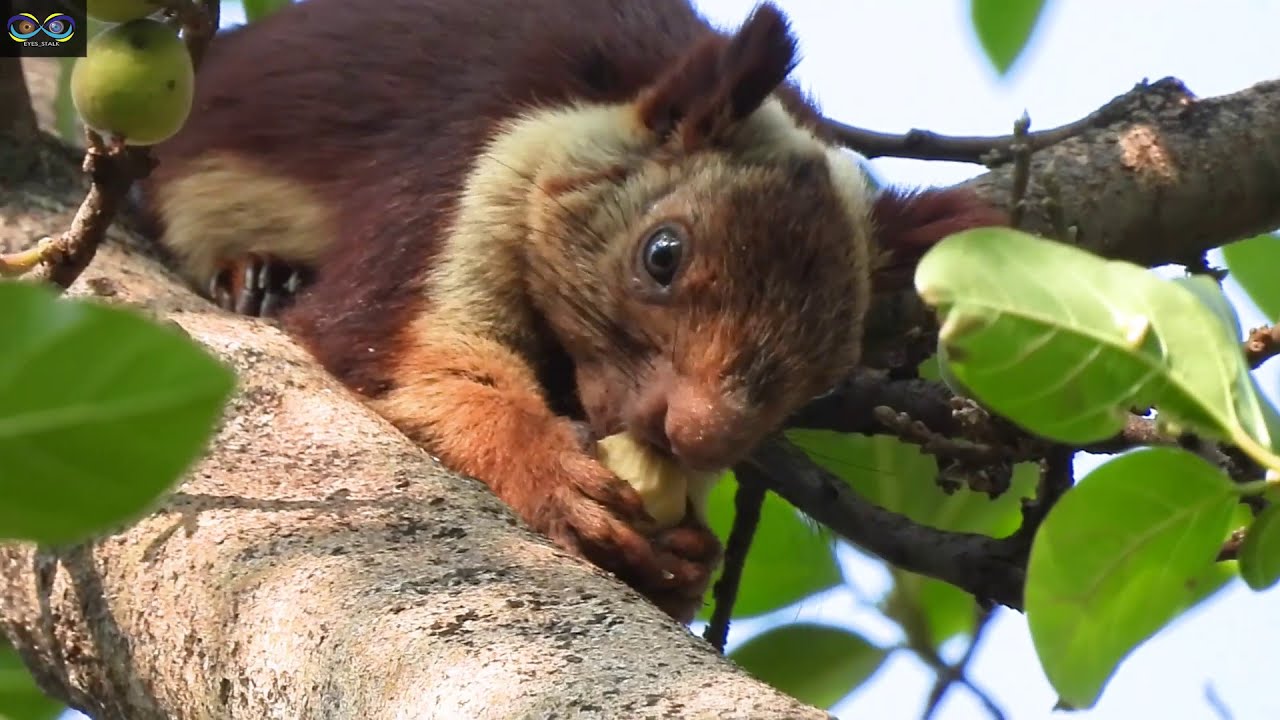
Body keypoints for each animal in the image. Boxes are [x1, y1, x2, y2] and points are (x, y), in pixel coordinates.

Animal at [137, 0, 1008, 623]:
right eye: (663, 254)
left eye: (826, 371)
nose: (698, 437)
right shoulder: (454, 183)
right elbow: (411, 356)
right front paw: (550, 472)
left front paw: (688, 561)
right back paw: (256, 277)